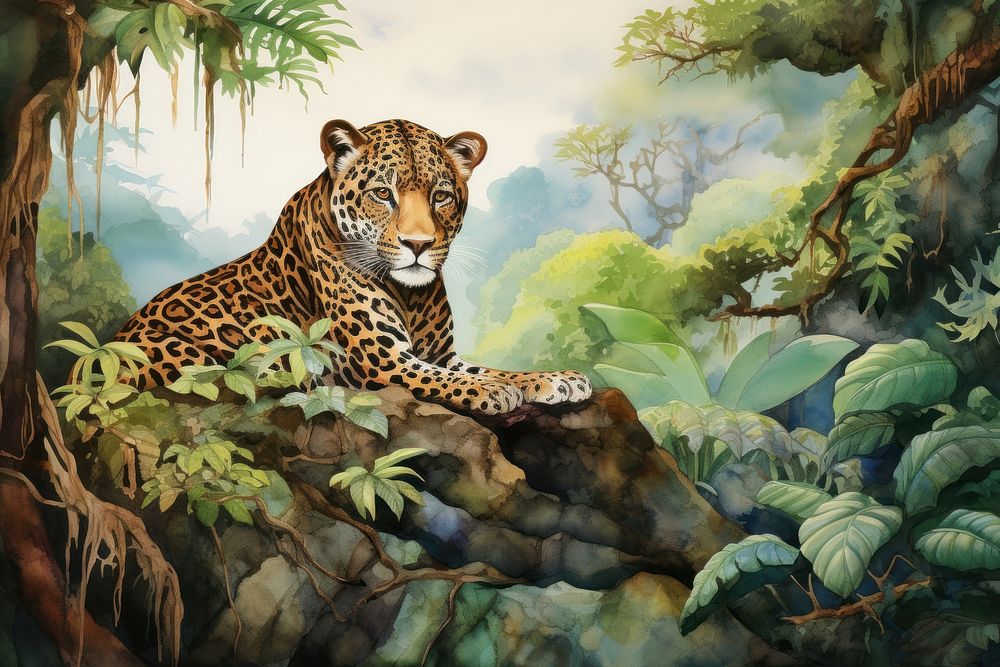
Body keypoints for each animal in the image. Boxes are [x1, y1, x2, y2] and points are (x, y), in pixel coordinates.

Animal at [114, 118, 592, 415]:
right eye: (382, 193)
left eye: (440, 196)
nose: (418, 244)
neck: (410, 294)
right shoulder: (383, 362)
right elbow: (452, 381)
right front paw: (494, 391)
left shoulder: (441, 355)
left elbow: (488, 368)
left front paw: (558, 379)